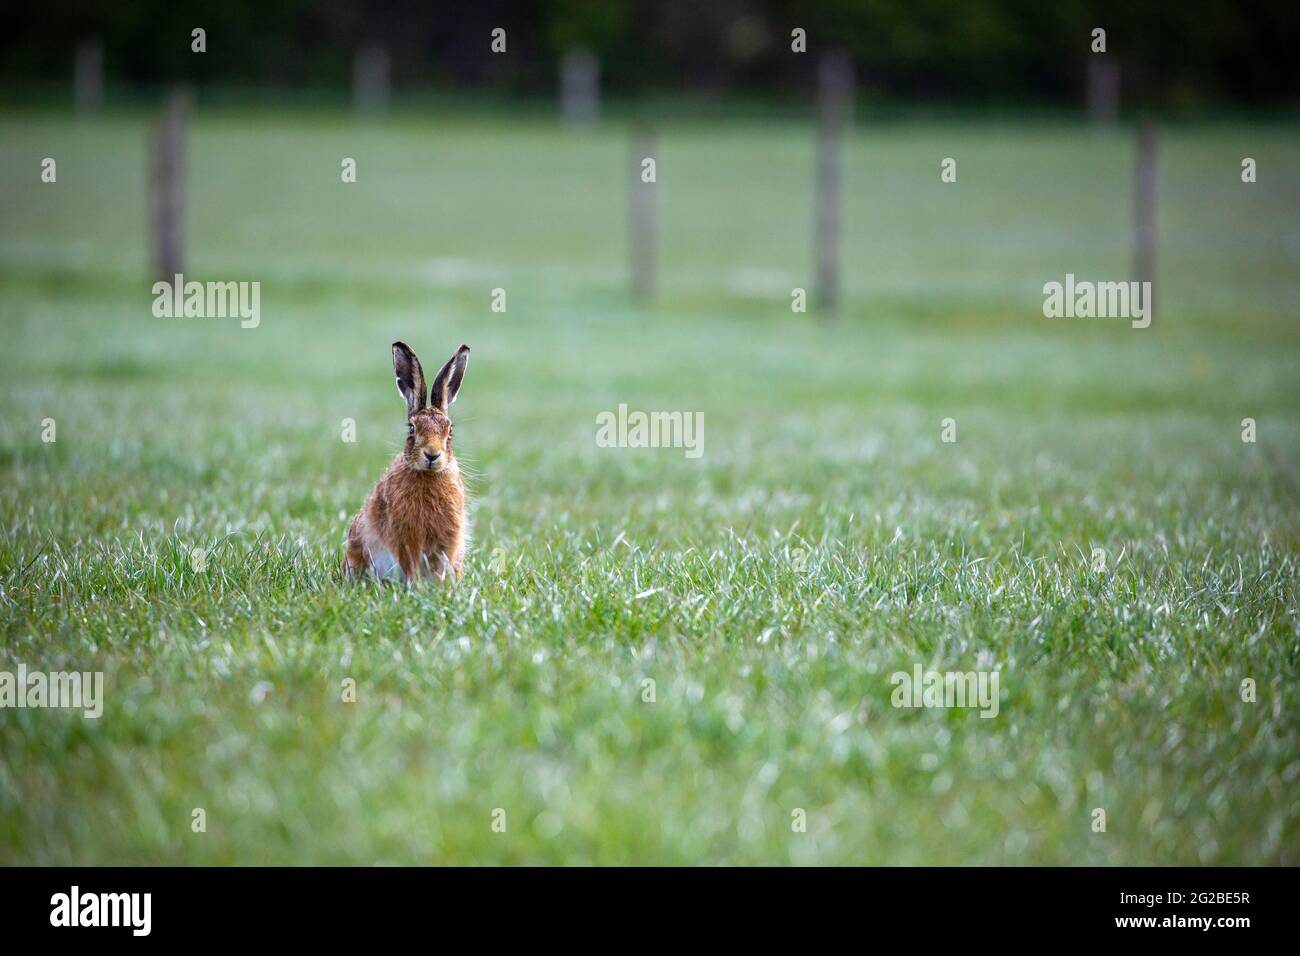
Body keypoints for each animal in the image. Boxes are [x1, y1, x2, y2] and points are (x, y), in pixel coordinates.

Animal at [344, 341, 471, 582]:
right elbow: (410, 564)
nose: (432, 455)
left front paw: (441, 588)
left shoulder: (447, 541)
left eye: (450, 431)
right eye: (412, 428)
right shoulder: (405, 537)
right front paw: (417, 587)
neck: (428, 475)